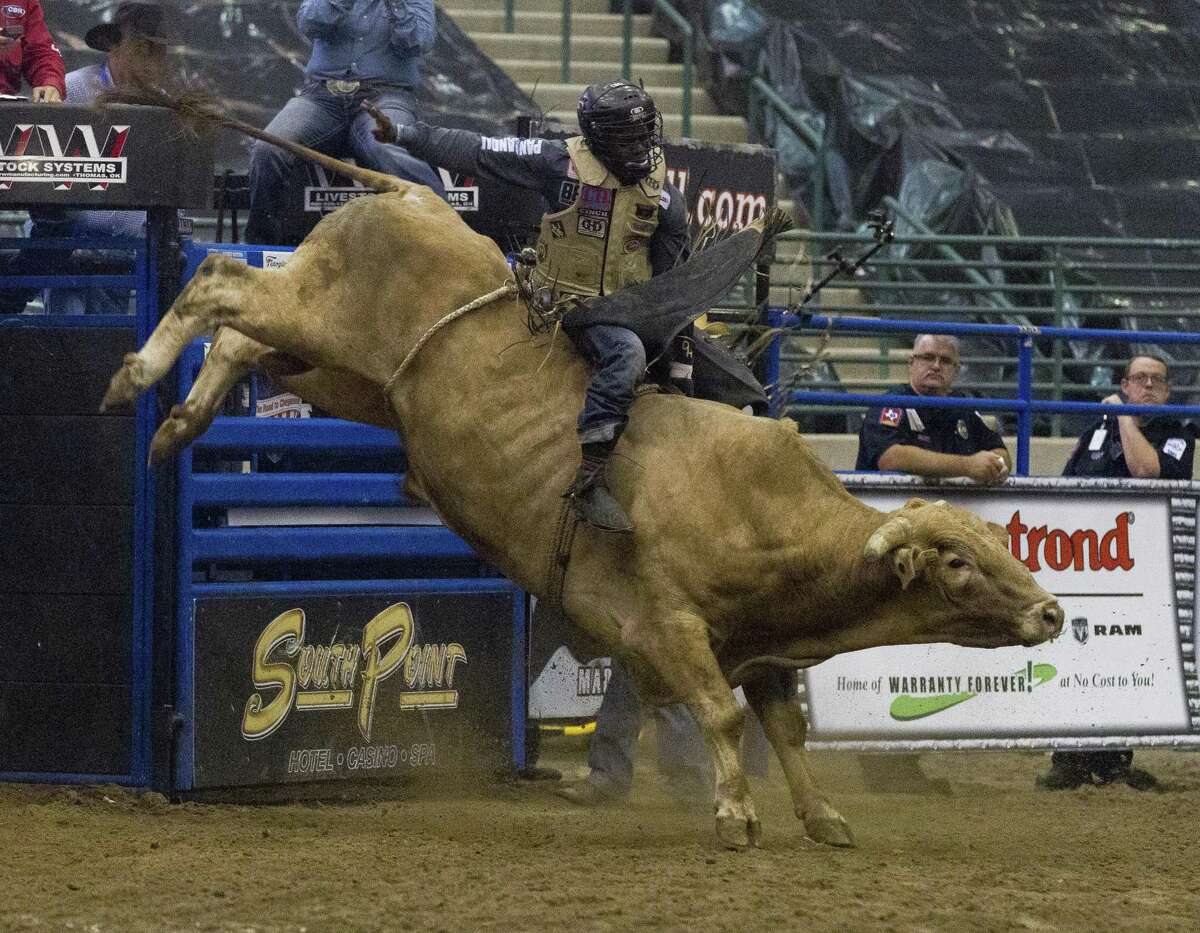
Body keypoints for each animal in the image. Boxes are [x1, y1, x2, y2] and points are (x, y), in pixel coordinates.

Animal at [102, 110, 1064, 850]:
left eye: (999, 543)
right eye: (957, 565)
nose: (1052, 612)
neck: (760, 509)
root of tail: (407, 195)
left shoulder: (762, 649)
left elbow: (784, 728)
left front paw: (822, 816)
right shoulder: (668, 625)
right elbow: (719, 716)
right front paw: (734, 816)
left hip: (341, 373)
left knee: (239, 338)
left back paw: (179, 423)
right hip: (317, 317)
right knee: (221, 279)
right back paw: (133, 376)